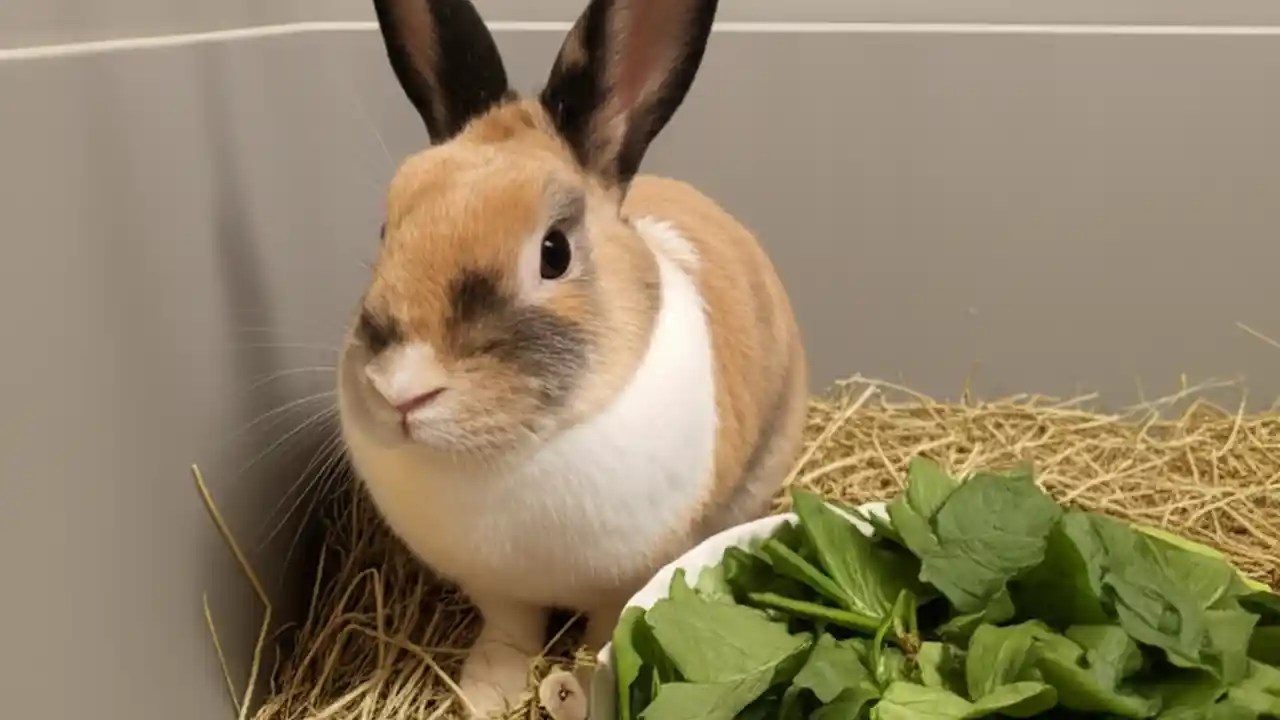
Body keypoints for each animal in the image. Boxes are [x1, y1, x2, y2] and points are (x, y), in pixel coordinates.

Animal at [337, 0, 808, 716]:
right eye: (388, 229)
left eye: (553, 252)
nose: (399, 391)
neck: (510, 456)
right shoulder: (496, 589)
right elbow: (509, 633)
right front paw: (486, 694)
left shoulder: (624, 582)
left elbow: (602, 636)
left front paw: (581, 690)